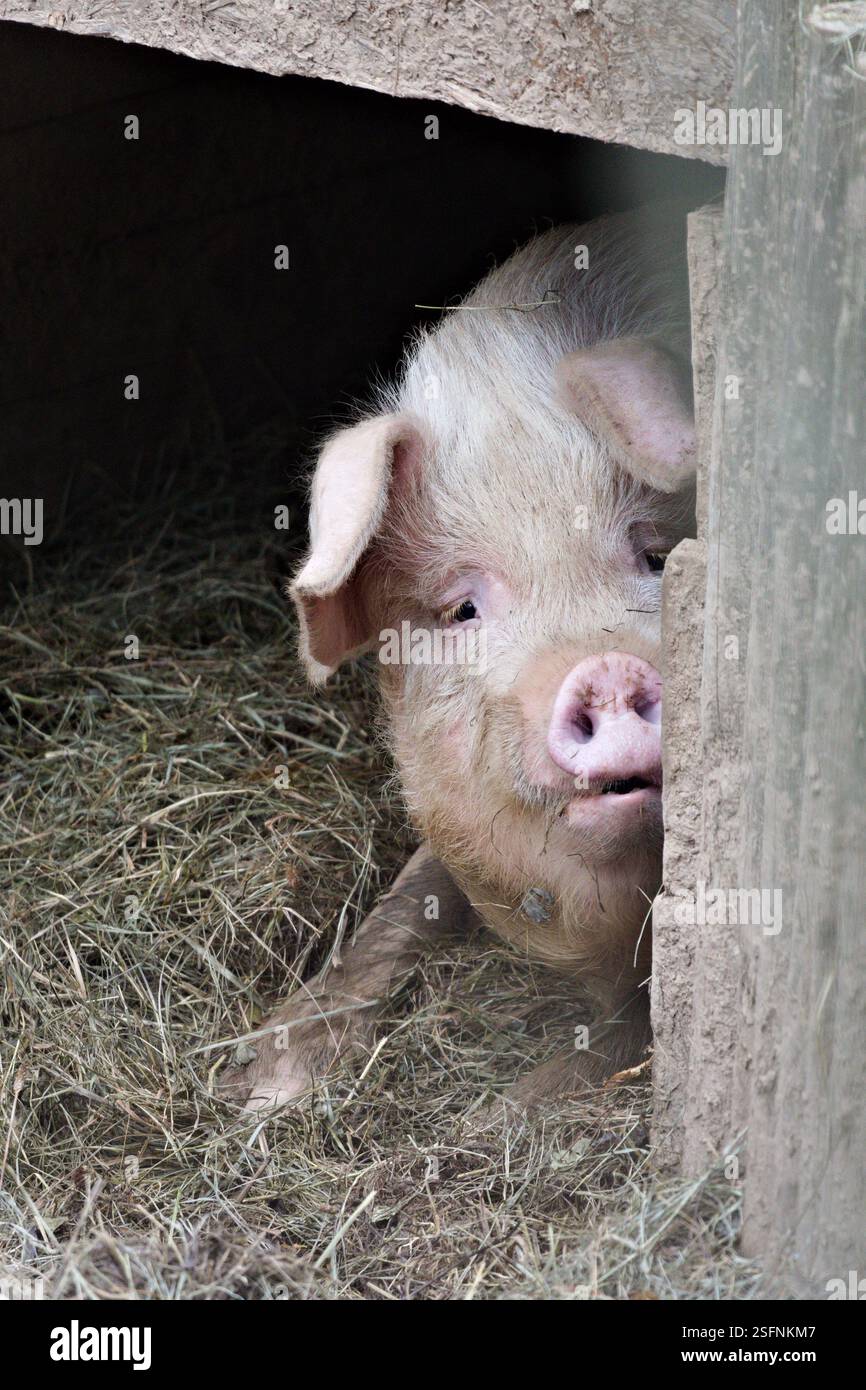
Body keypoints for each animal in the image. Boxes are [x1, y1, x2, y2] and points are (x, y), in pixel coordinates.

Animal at [229, 205, 696, 1112]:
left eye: (656, 554)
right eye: (461, 609)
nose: (606, 669)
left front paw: (517, 1104)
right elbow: (413, 893)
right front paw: (258, 1083)